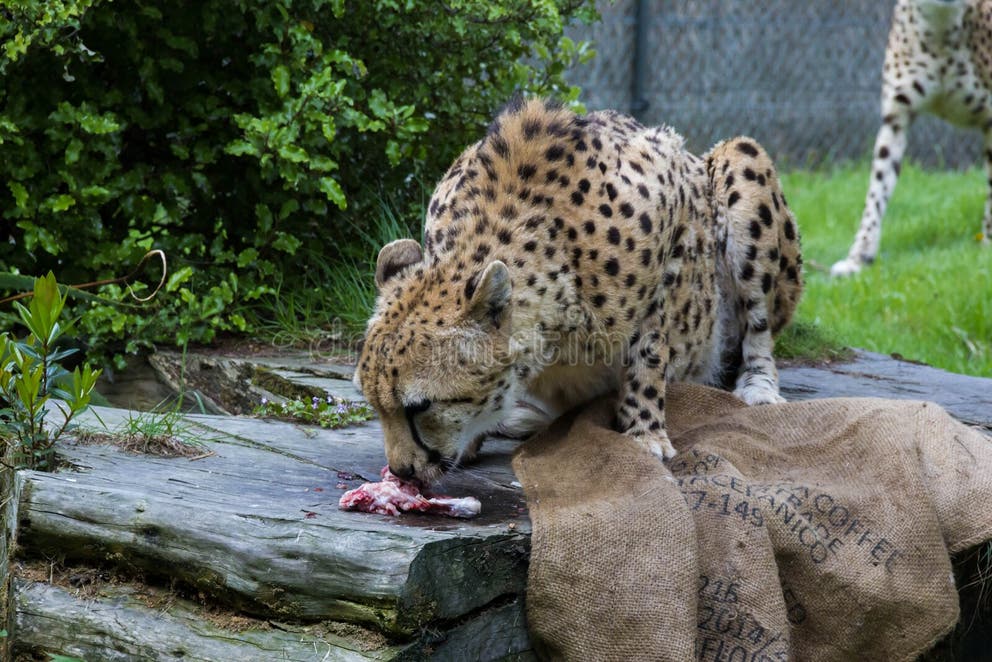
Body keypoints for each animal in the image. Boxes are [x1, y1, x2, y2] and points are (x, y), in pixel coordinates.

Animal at [354, 98, 803, 483]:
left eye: (420, 406)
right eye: (373, 404)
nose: (402, 472)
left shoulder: (672, 209)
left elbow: (648, 353)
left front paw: (644, 433)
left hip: (741, 160)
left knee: (759, 332)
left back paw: (759, 387)